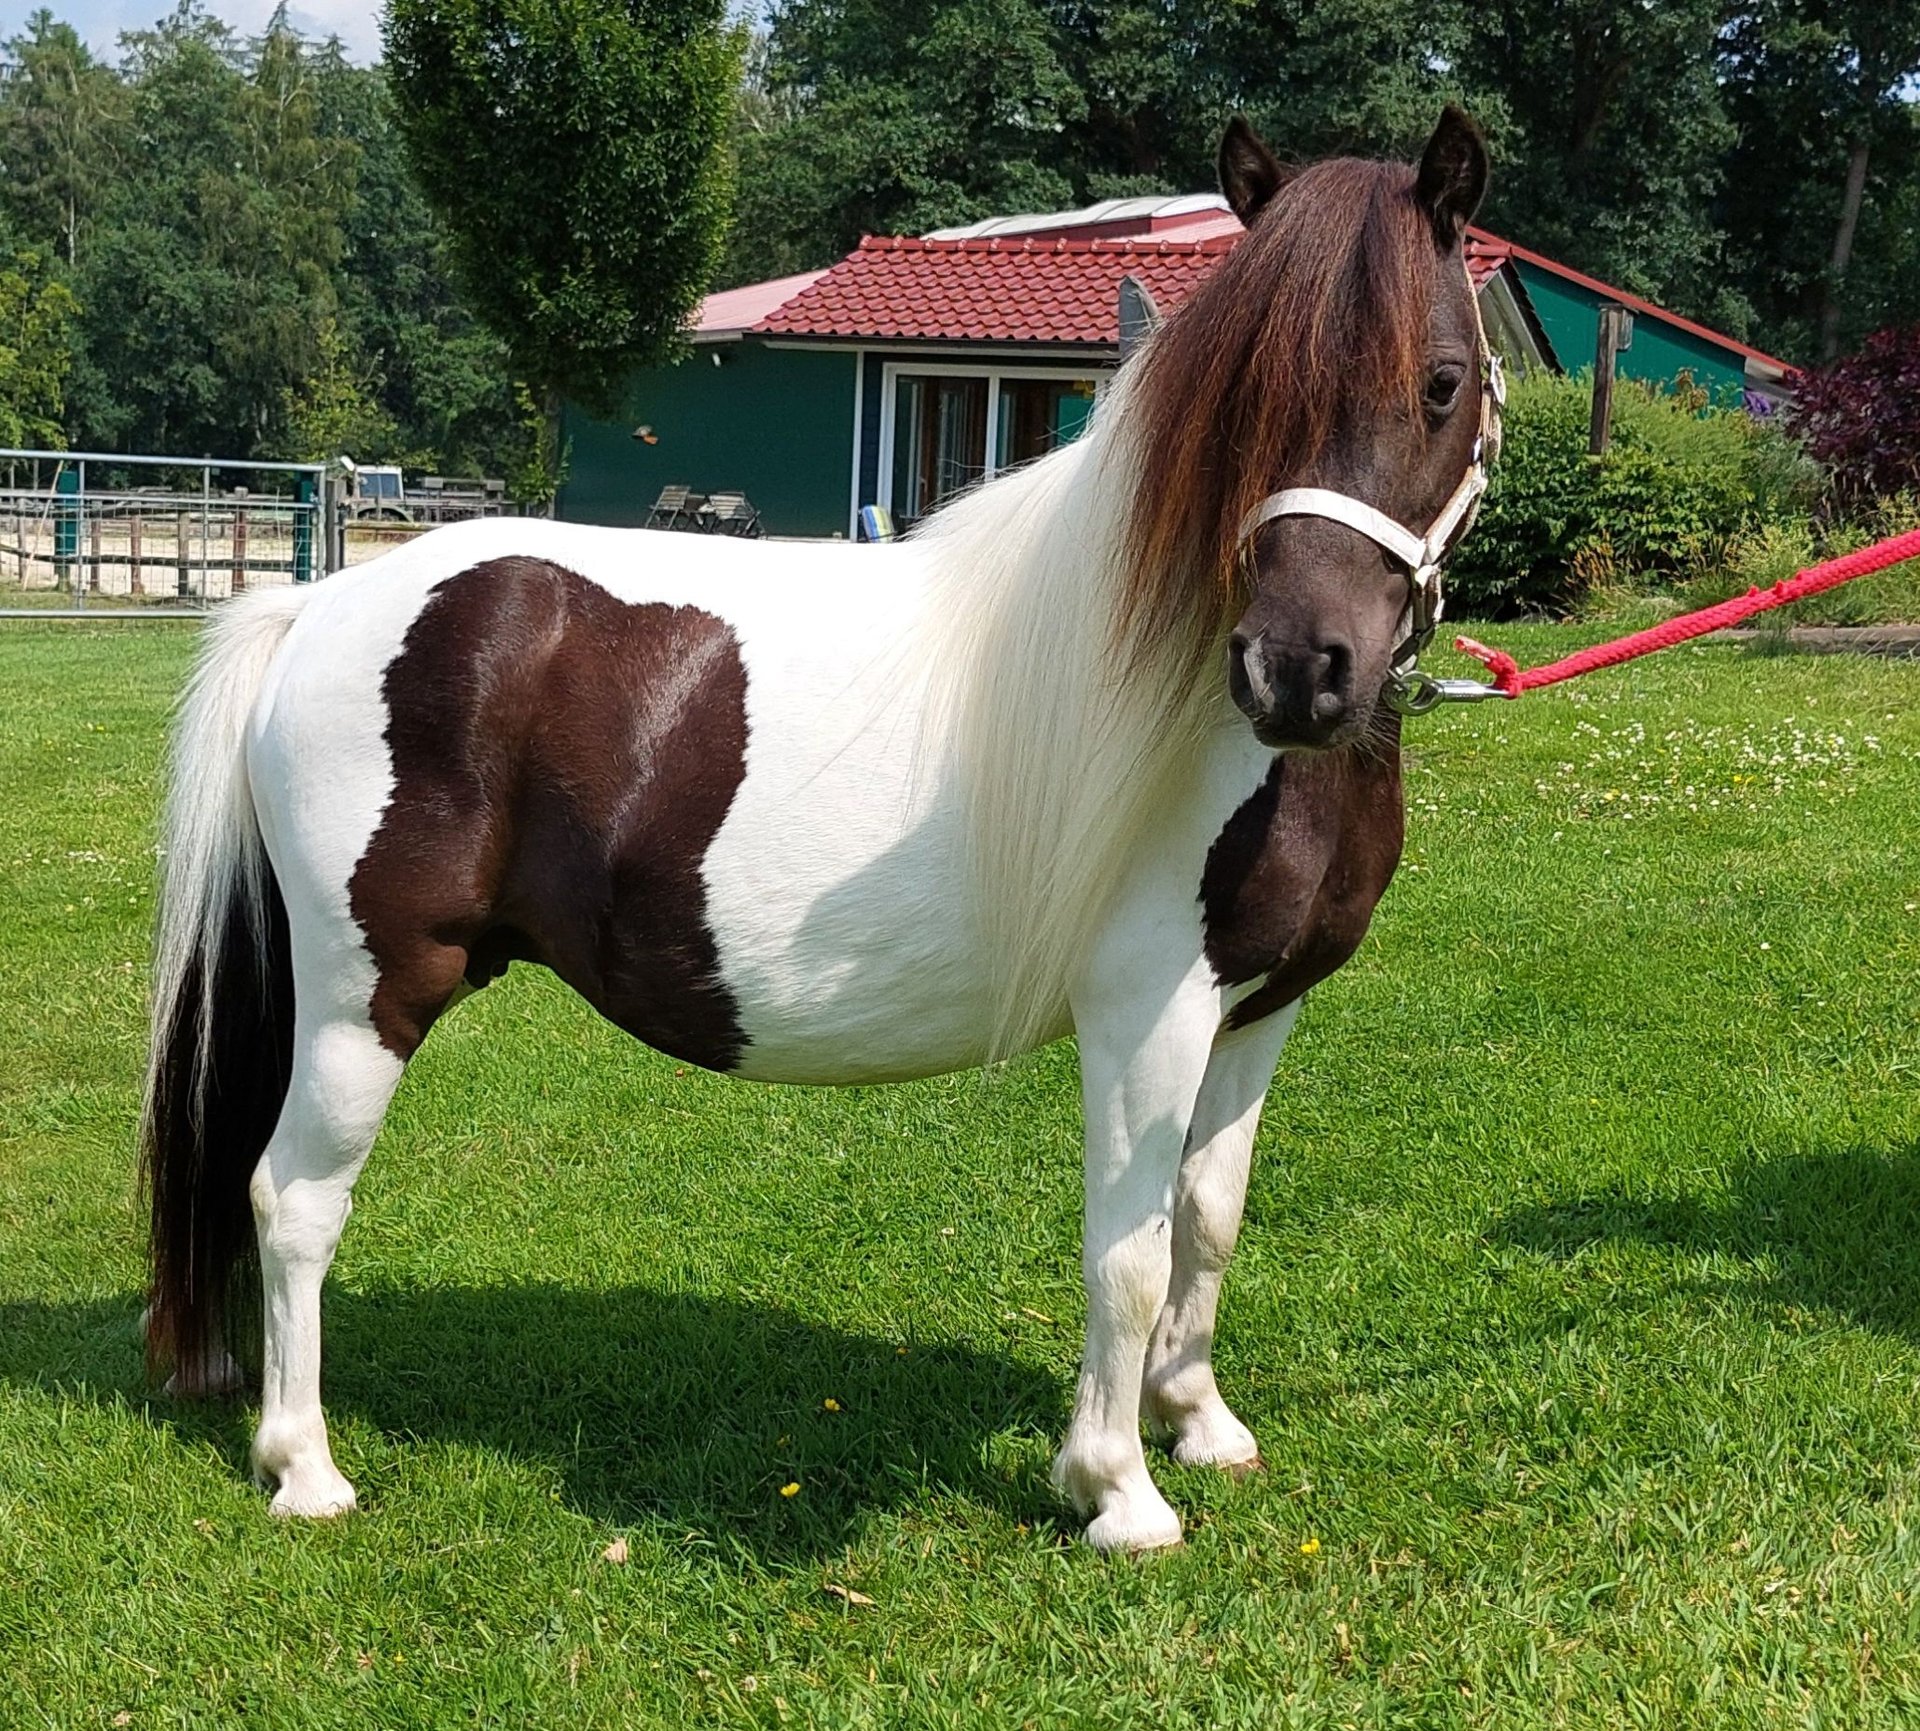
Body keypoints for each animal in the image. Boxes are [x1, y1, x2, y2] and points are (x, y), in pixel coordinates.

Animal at [143, 107, 1496, 1552]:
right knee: (292, 1202)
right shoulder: (1151, 1010)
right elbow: (1126, 1249)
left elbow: (1208, 1218)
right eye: (1246, 403)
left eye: (1441, 384)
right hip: (369, 994)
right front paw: (1117, 1487)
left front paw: (1200, 1424)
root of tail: (320, 607)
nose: (1298, 673)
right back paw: (303, 1465)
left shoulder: (1258, 1011)